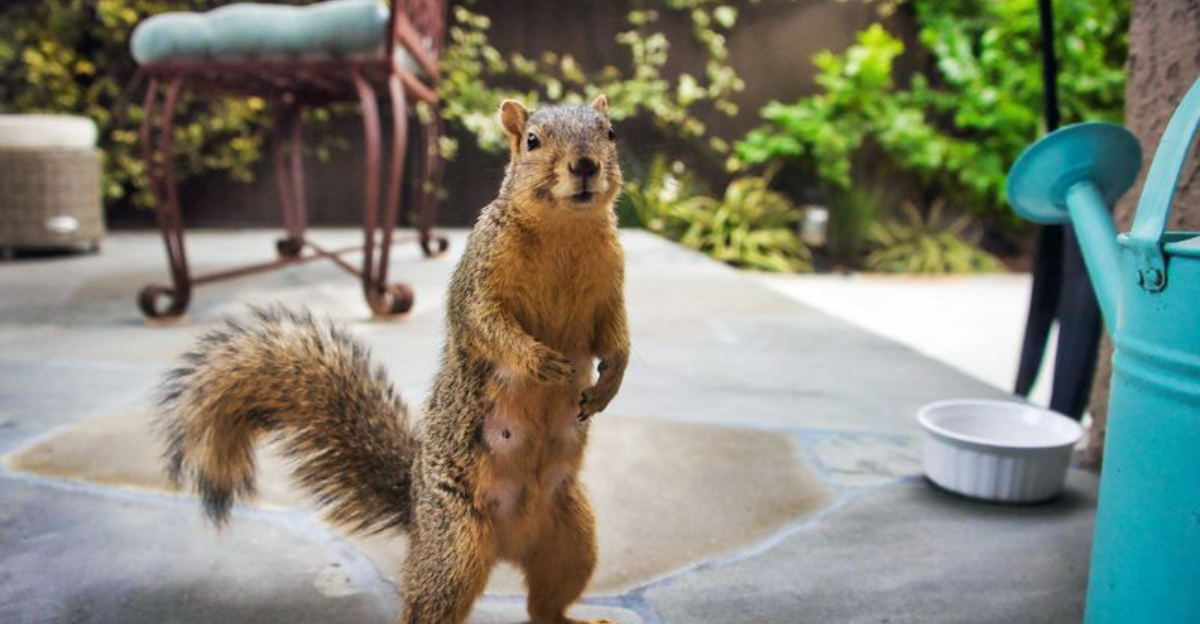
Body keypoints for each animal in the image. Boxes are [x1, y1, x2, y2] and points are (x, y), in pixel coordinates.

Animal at [157, 94, 630, 624]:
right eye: (532, 140)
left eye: (610, 133)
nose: (585, 165)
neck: (564, 230)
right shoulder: (478, 279)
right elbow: (486, 324)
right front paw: (539, 361)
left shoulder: (610, 285)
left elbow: (616, 333)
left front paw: (612, 378)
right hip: (455, 546)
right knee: (430, 606)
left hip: (572, 535)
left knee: (546, 605)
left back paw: (581, 617)